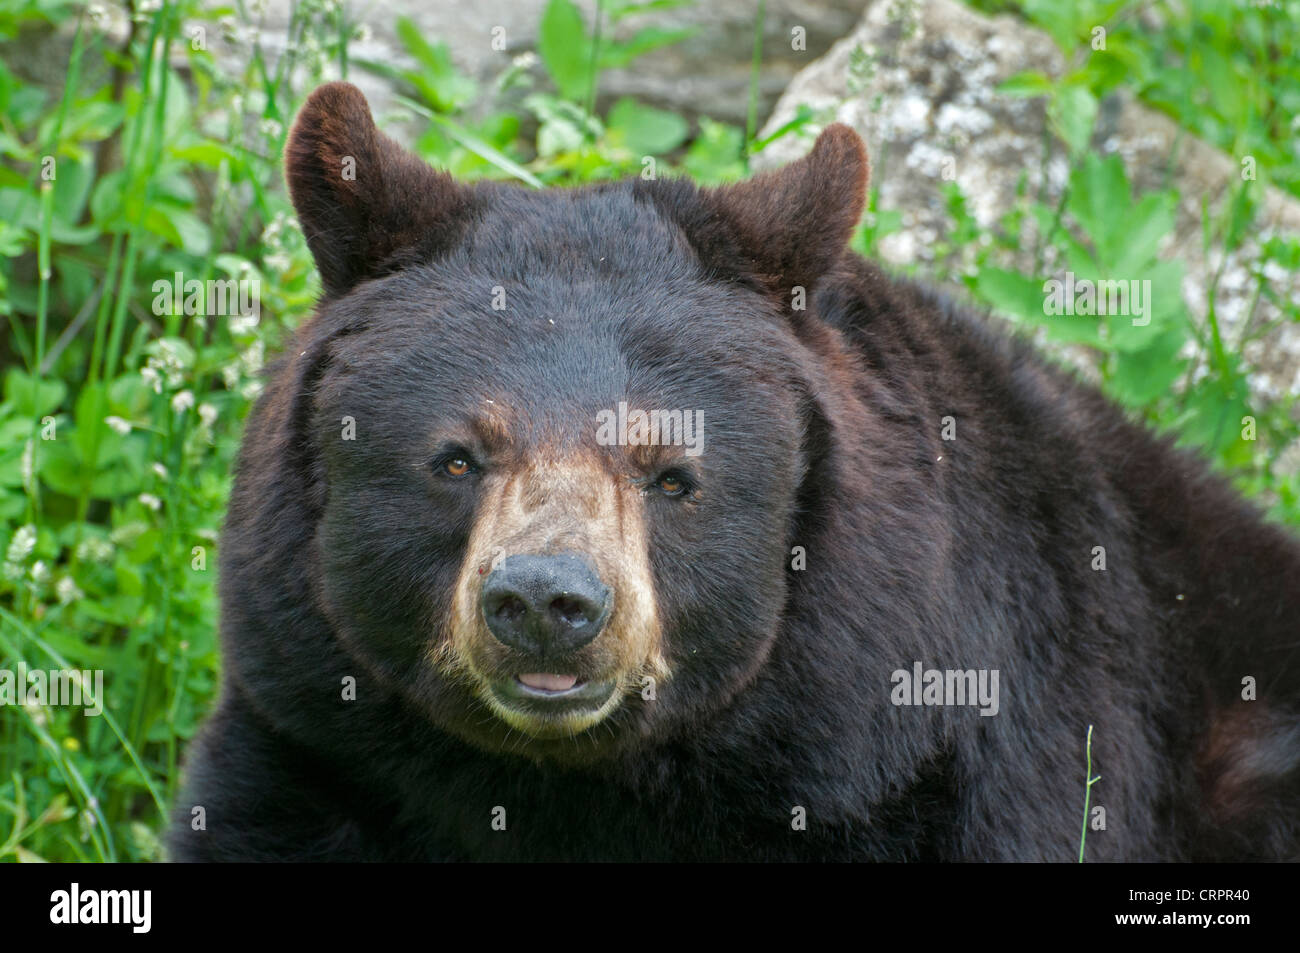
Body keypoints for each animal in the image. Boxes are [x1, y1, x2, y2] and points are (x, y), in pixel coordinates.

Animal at [168, 81, 1300, 862]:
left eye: (672, 474)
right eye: (457, 457)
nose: (546, 603)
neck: (574, 786)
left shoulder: (949, 773)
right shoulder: (311, 746)